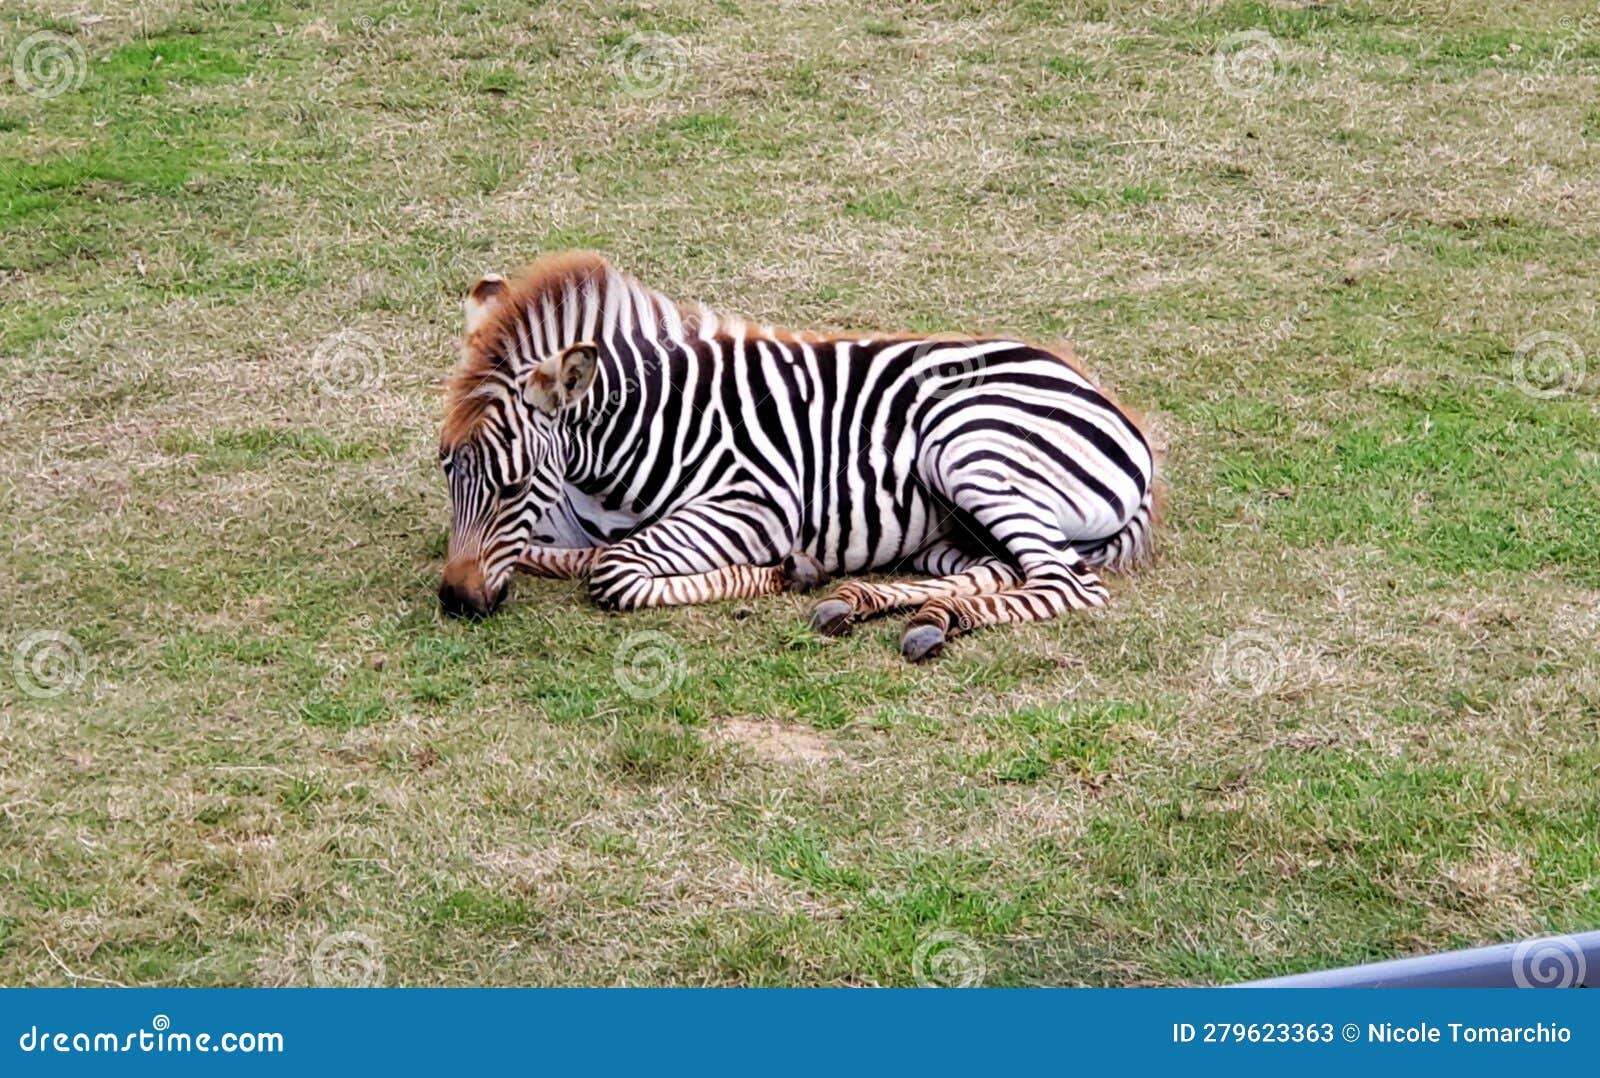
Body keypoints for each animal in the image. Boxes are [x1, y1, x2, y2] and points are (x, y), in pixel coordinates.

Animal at [437, 252, 1158, 661]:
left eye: (513, 484)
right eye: (447, 469)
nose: (456, 603)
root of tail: (1100, 394)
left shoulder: (755, 504)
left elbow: (613, 571)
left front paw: (785, 570)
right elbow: (546, 550)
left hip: (969, 451)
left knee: (1063, 582)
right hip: (951, 528)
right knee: (1003, 570)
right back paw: (893, 609)